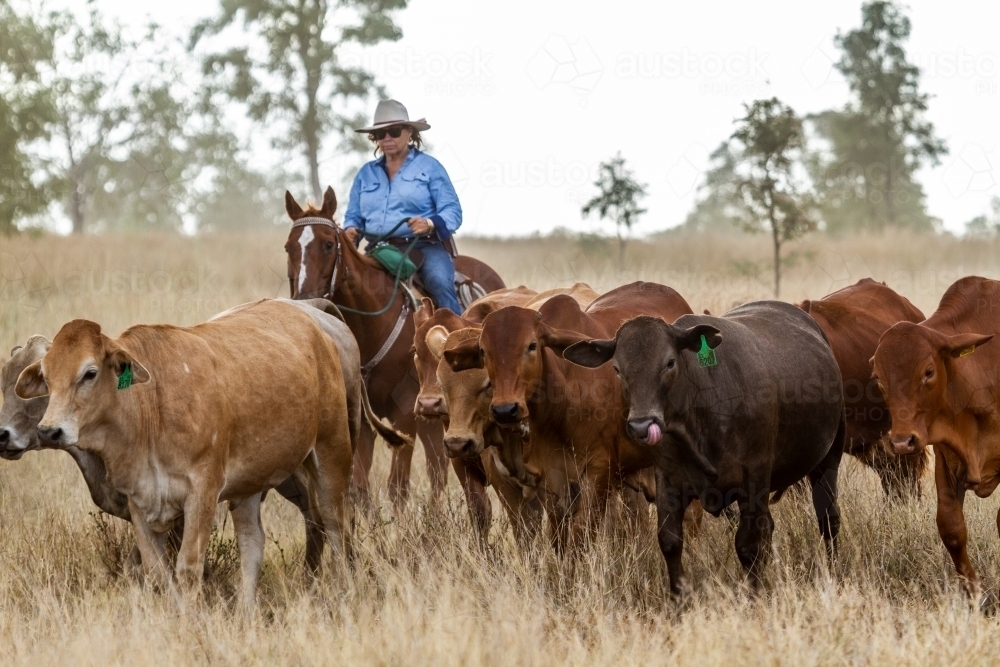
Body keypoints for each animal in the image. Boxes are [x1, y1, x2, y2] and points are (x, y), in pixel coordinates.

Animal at [284, 186, 505, 509]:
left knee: (436, 470)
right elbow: (360, 488)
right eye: (289, 247)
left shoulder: (405, 413)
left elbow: (397, 487)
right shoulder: (364, 419)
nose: (304, 300)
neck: (371, 328)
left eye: (328, 244)